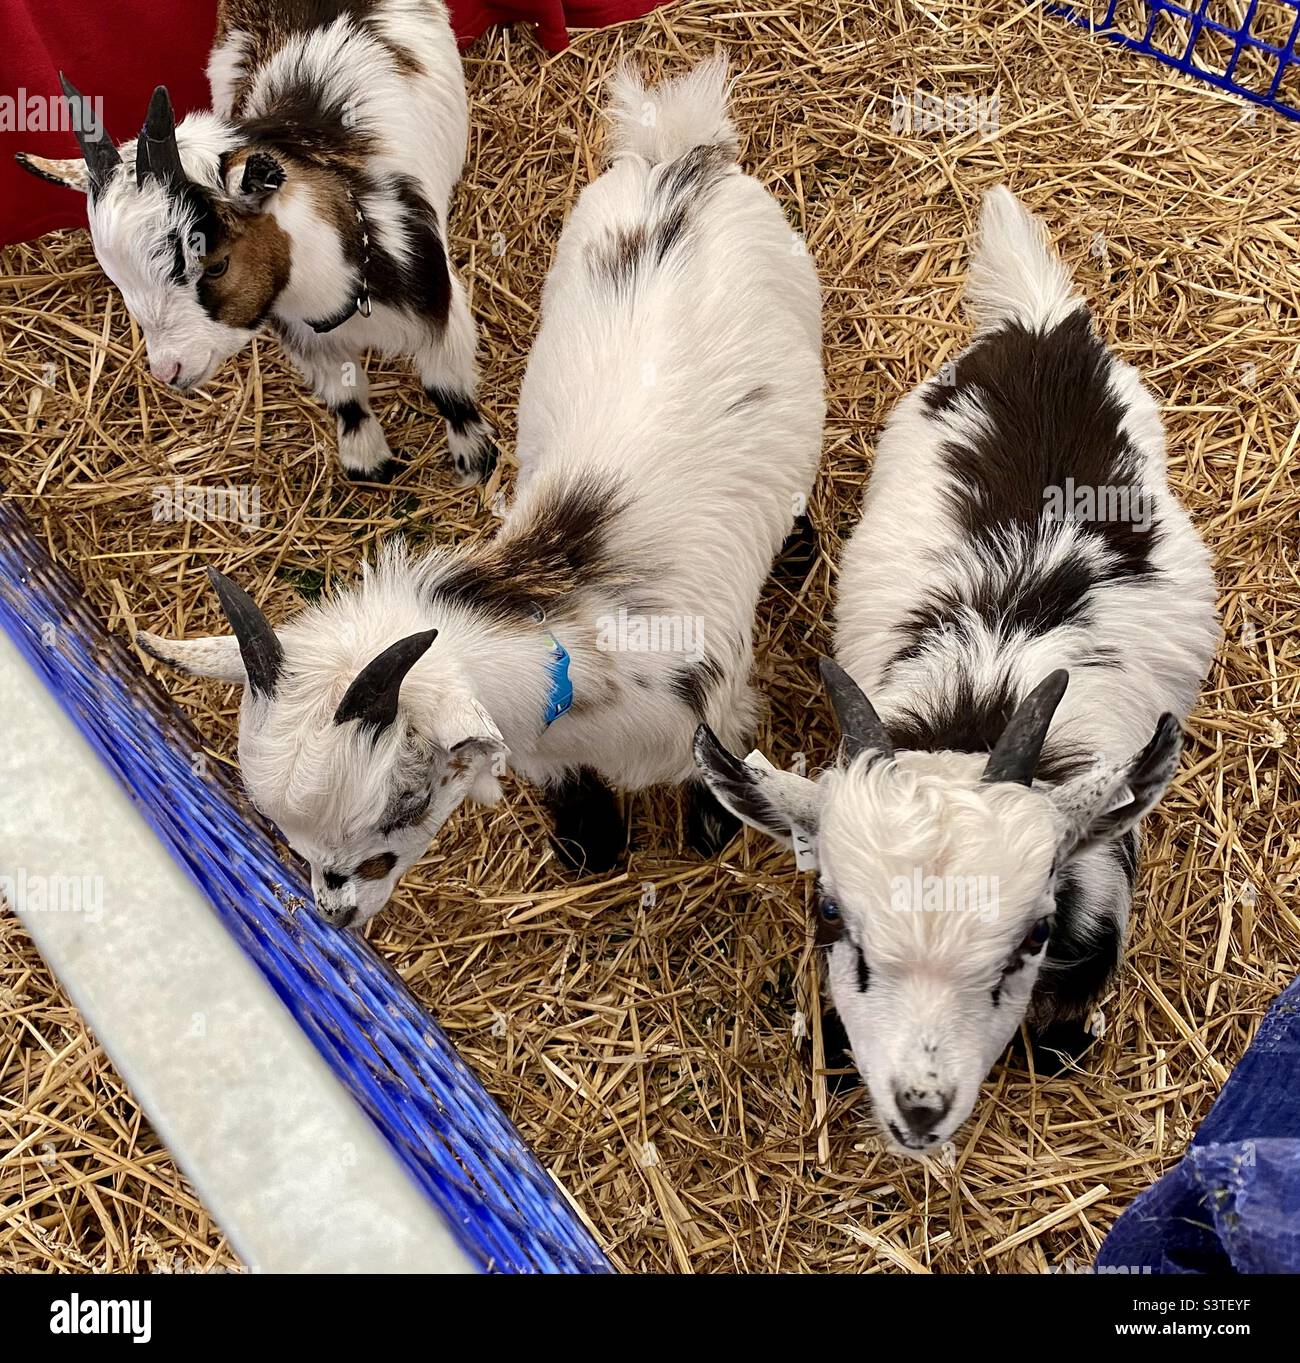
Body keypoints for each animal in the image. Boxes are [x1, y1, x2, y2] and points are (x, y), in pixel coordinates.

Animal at [17, 0, 496, 485]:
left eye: (215, 265)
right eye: (117, 278)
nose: (169, 370)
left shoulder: (439, 314)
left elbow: (448, 393)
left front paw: (477, 461)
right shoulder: (306, 337)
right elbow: (345, 397)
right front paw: (368, 461)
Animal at [136, 56, 825, 930]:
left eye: (398, 806)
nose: (337, 914)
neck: (575, 625)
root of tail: (681, 161)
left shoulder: (719, 700)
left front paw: (710, 829)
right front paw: (590, 843)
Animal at [694, 187, 1218, 1158]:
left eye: (1034, 933)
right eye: (832, 913)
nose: (920, 1105)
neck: (978, 715)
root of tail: (1047, 331)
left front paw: (1058, 1048)